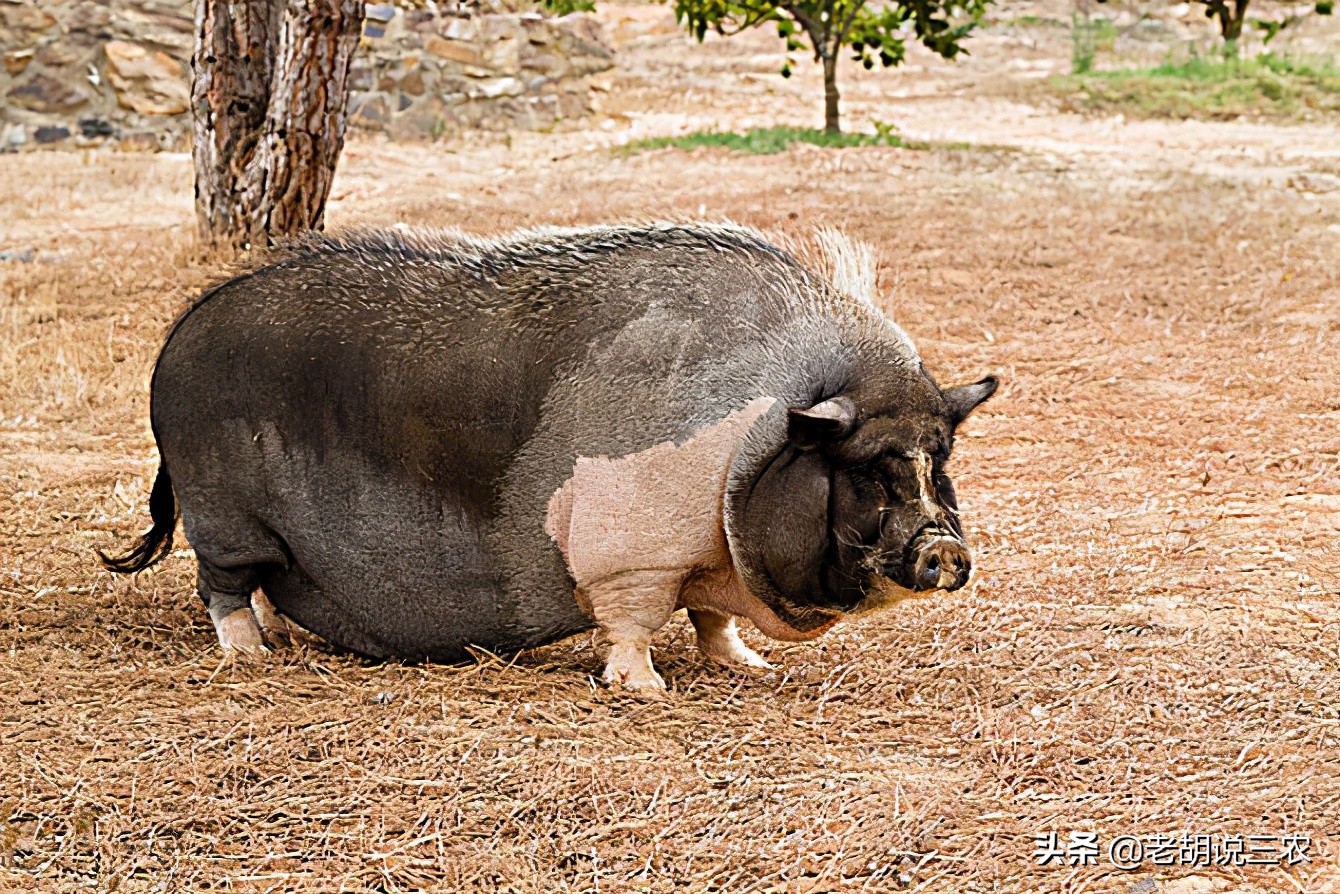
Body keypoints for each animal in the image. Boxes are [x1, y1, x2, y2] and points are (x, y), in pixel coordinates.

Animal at [101, 223, 997, 690]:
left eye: (940, 458)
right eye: (868, 467)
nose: (946, 550)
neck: (756, 439)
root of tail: (176, 337)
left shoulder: (708, 556)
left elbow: (711, 615)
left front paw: (747, 667)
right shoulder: (633, 555)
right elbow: (635, 622)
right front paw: (646, 688)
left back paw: (279, 641)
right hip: (222, 512)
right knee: (220, 585)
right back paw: (253, 656)